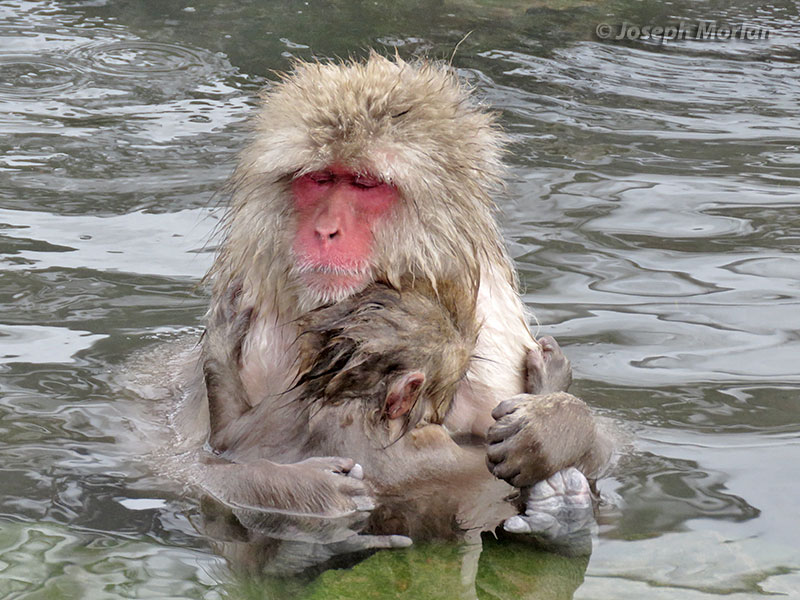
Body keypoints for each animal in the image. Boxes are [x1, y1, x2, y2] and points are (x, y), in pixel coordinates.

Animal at [174, 52, 611, 547]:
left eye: (364, 184)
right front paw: (307, 491)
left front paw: (553, 426)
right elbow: (200, 455)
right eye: (320, 179)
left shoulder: (498, 345)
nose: (325, 231)